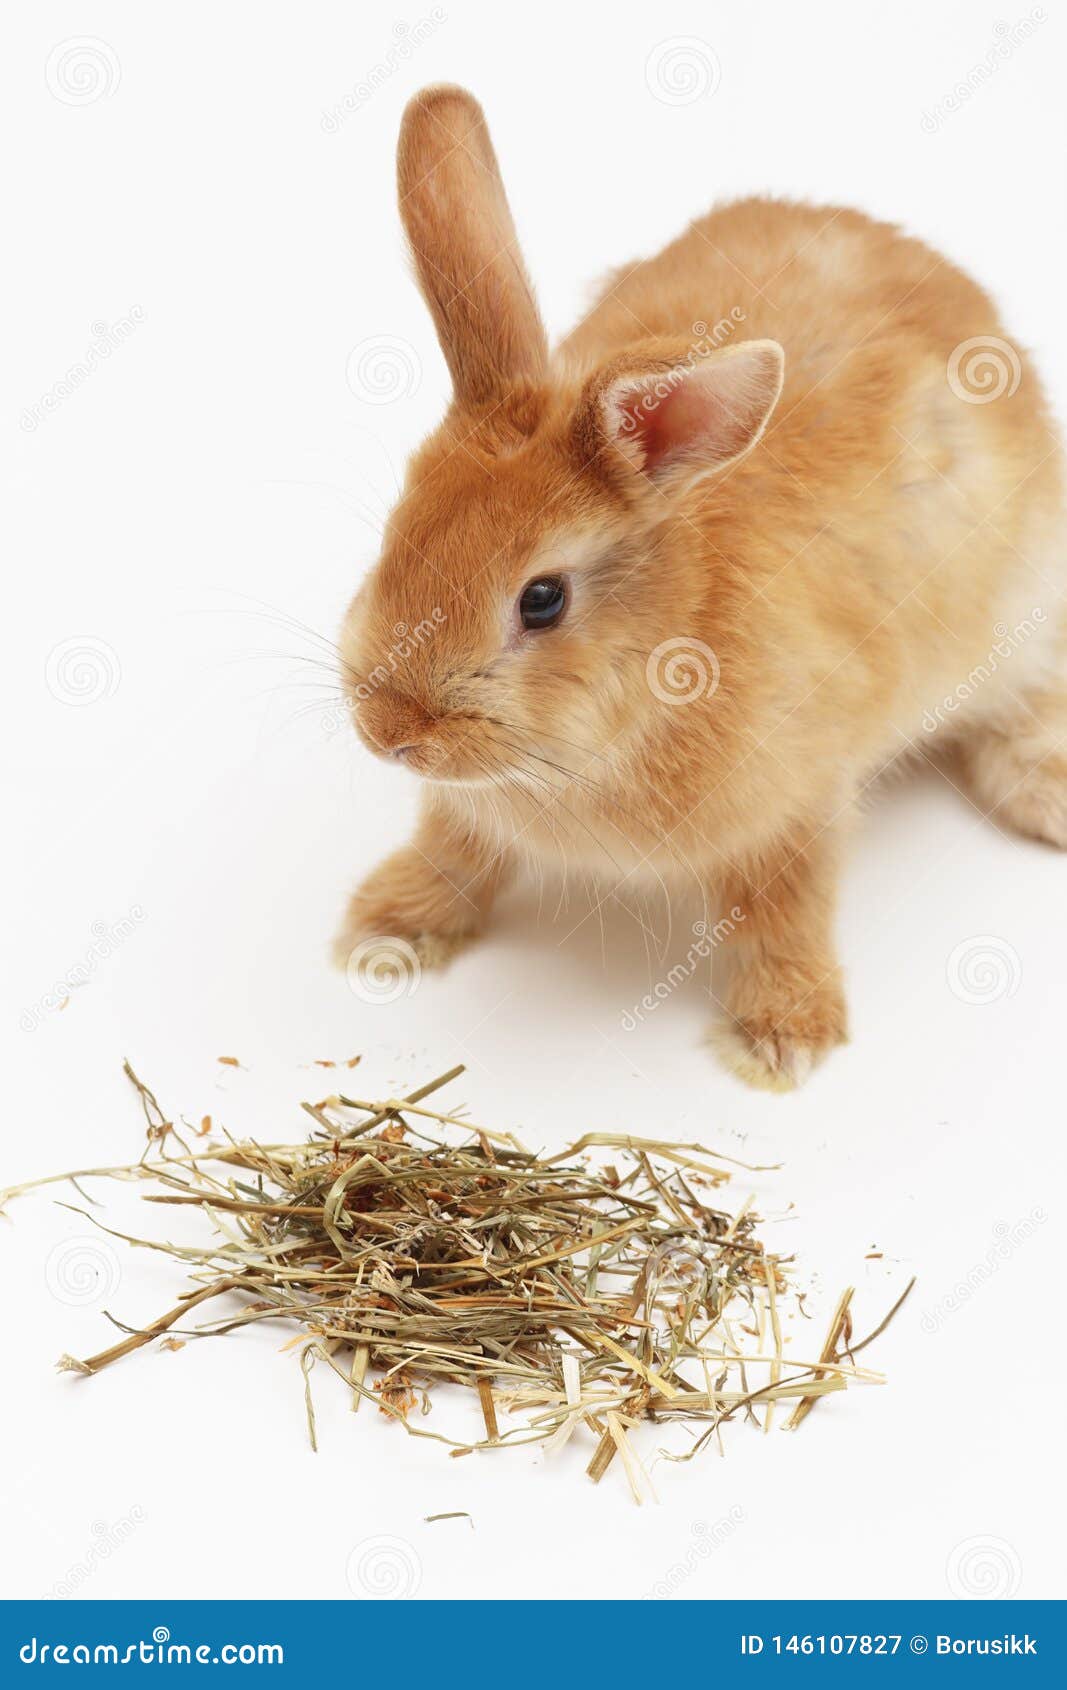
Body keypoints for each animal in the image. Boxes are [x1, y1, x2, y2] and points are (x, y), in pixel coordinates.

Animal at [333, 84, 1066, 1090]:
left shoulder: (799, 802)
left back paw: (1050, 803)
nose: (388, 733)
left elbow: (785, 910)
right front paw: (385, 929)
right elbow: (454, 849)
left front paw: (781, 1038)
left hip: (1026, 610)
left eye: (541, 600)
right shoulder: (467, 809)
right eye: (396, 532)